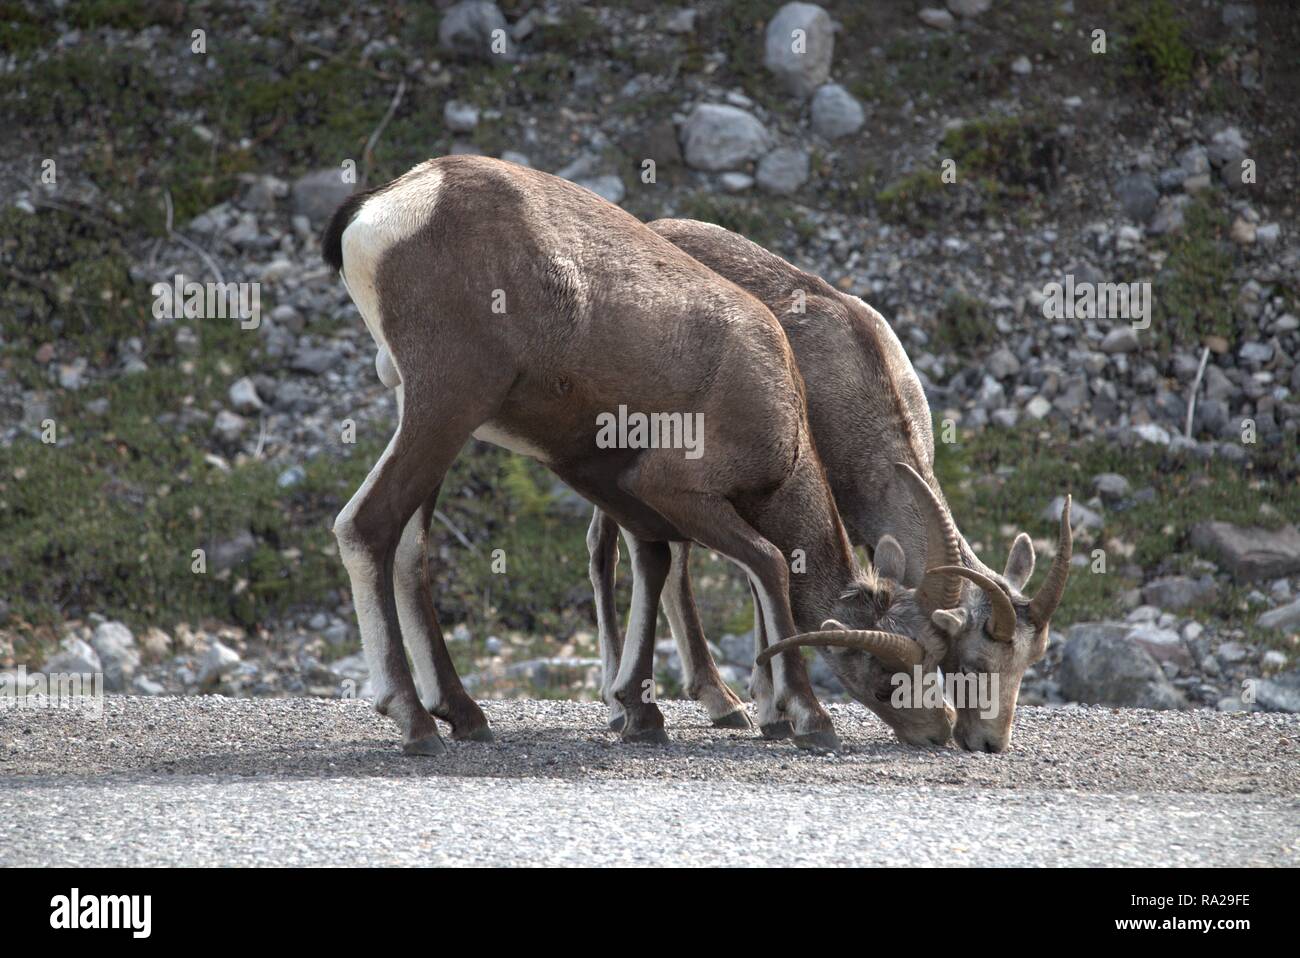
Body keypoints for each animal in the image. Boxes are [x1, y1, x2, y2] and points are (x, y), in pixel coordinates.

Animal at [321, 156, 952, 754]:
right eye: (888, 674)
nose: (943, 729)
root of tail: (394, 203)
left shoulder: (614, 486)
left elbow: (654, 562)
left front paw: (641, 715)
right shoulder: (672, 488)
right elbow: (769, 563)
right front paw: (806, 719)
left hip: (425, 412)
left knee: (411, 550)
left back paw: (464, 715)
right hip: (445, 404)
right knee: (366, 526)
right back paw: (415, 722)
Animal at [590, 219, 1072, 752]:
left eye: (1030, 661)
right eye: (972, 662)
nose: (988, 742)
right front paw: (774, 712)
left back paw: (716, 704)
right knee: (614, 550)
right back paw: (635, 706)